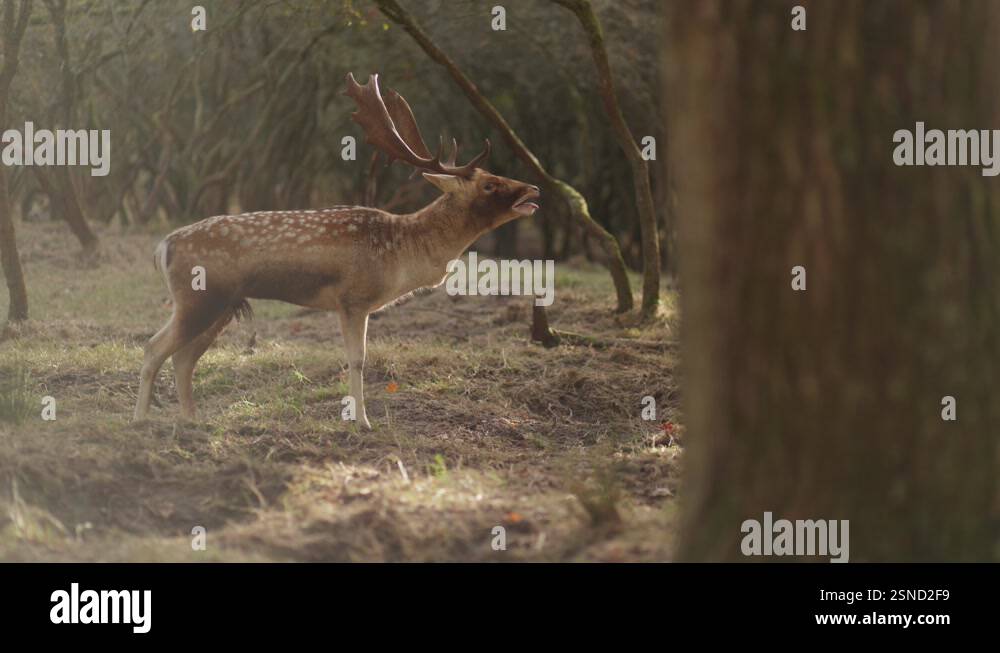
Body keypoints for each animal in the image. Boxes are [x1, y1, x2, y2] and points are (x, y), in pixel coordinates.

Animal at [133, 73, 541, 429]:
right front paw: (362, 422)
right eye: (489, 184)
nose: (533, 188)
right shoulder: (353, 298)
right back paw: (142, 419)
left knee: (182, 357)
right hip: (198, 298)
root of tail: (163, 246)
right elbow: (357, 360)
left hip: (221, 304)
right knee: (154, 347)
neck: (403, 252)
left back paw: (192, 420)